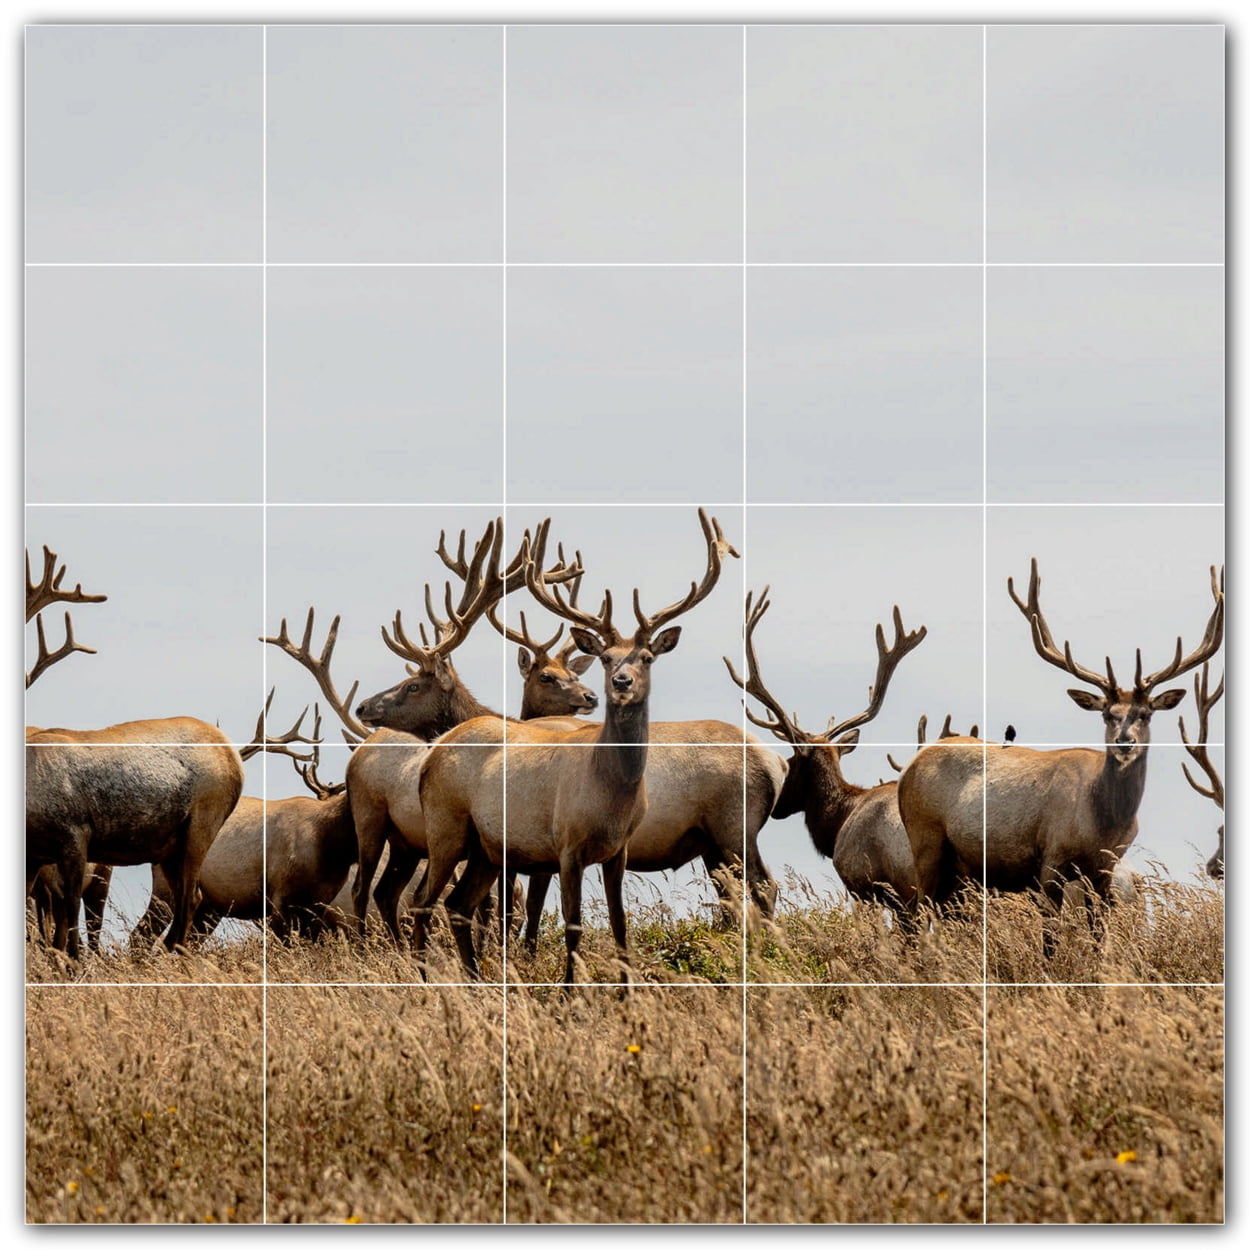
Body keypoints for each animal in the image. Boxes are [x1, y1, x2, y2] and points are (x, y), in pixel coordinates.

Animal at [413, 508, 738, 984]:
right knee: (424, 903)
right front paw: (570, 992)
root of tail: (432, 753)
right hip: (445, 825)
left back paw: (475, 981)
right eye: (605, 658)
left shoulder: (618, 850)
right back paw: (424, 979)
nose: (620, 683)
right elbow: (573, 924)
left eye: (647, 657)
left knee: (457, 905)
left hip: (487, 846)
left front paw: (625, 992)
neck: (610, 794)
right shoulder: (566, 843)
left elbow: (620, 925)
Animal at [898, 560, 1224, 954]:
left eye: (1145, 714)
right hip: (925, 838)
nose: (1124, 742)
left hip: (959, 867)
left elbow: (1100, 935)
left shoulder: (1104, 870)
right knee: (917, 913)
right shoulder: (1050, 857)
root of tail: (908, 769)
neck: (1101, 821)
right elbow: (1051, 938)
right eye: (1107, 714)